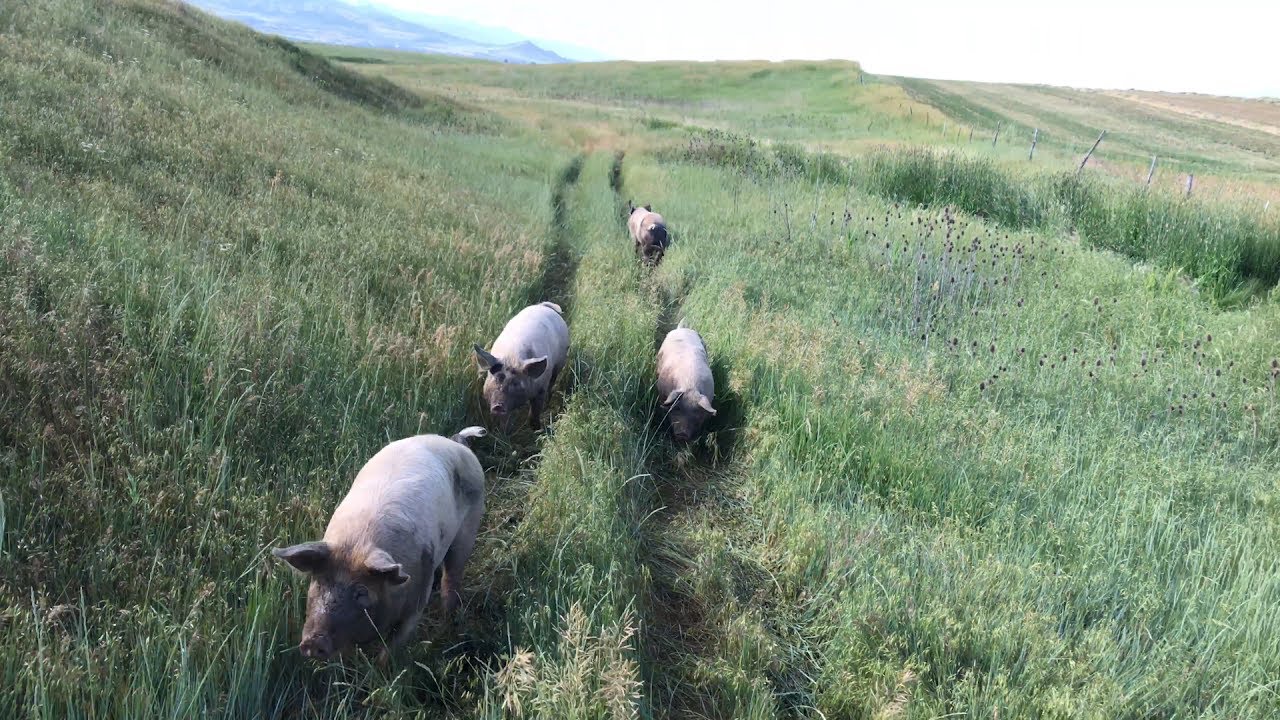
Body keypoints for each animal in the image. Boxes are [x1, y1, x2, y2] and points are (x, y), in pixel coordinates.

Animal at [272, 426, 488, 662]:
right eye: (319, 583)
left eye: (361, 592)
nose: (313, 642)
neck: (357, 545)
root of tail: (456, 442)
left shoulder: (417, 598)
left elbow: (395, 644)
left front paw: (382, 669)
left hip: (469, 527)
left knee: (453, 575)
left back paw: (449, 619)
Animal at [473, 301, 570, 430]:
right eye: (495, 380)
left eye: (516, 383)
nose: (498, 406)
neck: (512, 358)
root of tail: (543, 306)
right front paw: (504, 430)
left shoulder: (541, 387)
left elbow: (535, 410)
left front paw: (537, 429)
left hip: (560, 362)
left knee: (552, 382)